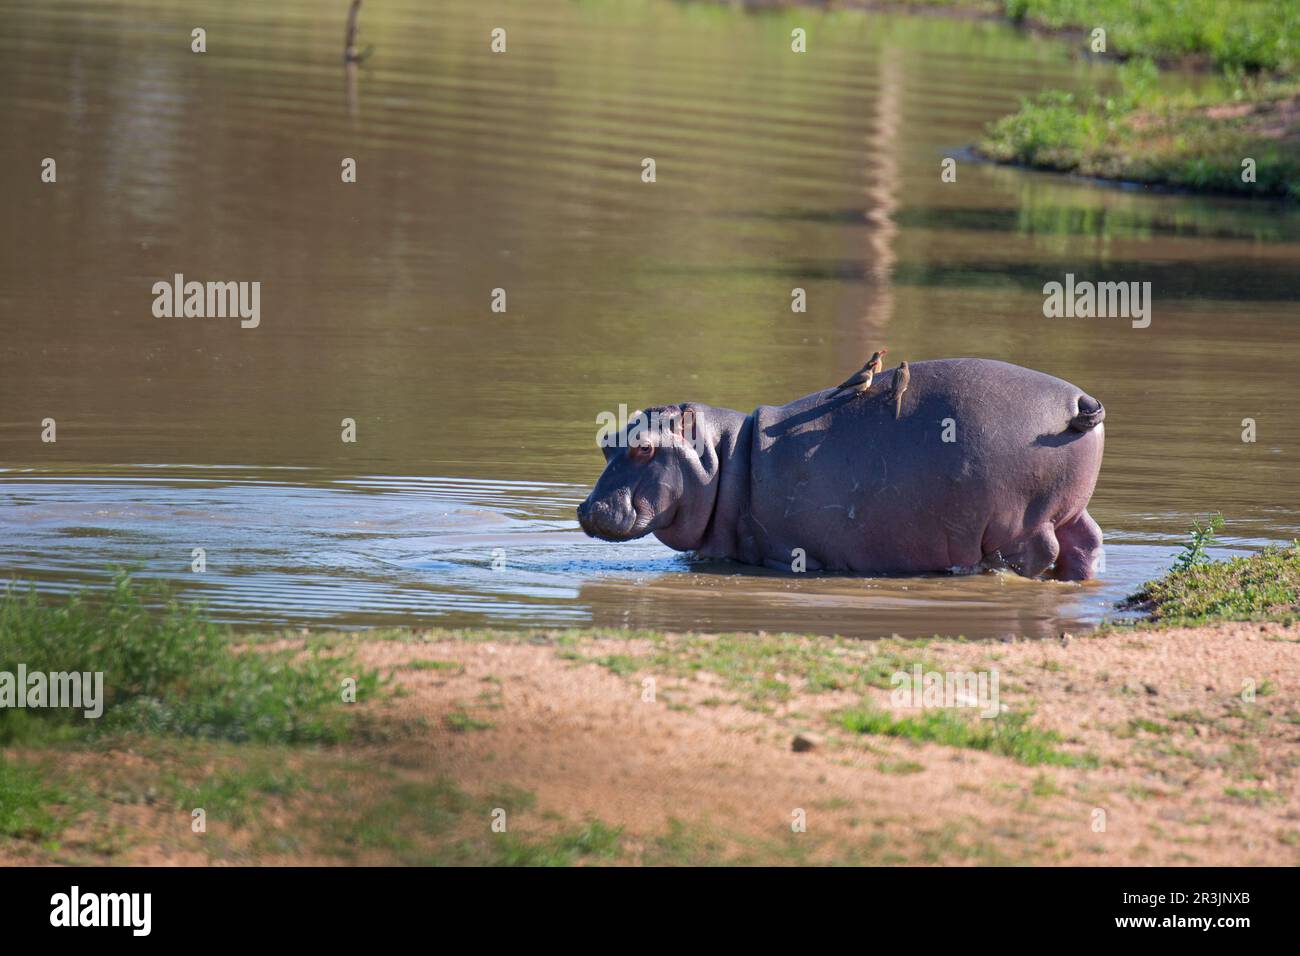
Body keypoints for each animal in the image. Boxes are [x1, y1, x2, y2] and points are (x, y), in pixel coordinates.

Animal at [576, 358, 1105, 580]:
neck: (721, 458)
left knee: (1041, 550)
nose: (584, 508)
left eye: (644, 448)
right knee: (1085, 541)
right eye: (607, 441)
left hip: (1022, 520)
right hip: (1068, 507)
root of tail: (1078, 401)